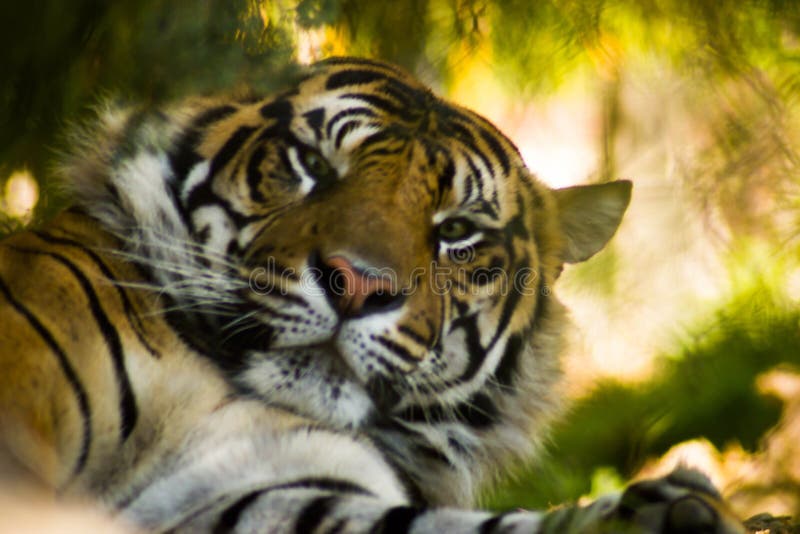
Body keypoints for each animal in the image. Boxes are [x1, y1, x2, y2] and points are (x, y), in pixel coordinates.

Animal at [0, 57, 745, 533]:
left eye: (456, 231)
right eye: (311, 165)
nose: (357, 284)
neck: (223, 385)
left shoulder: (256, 484)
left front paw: (667, 513)